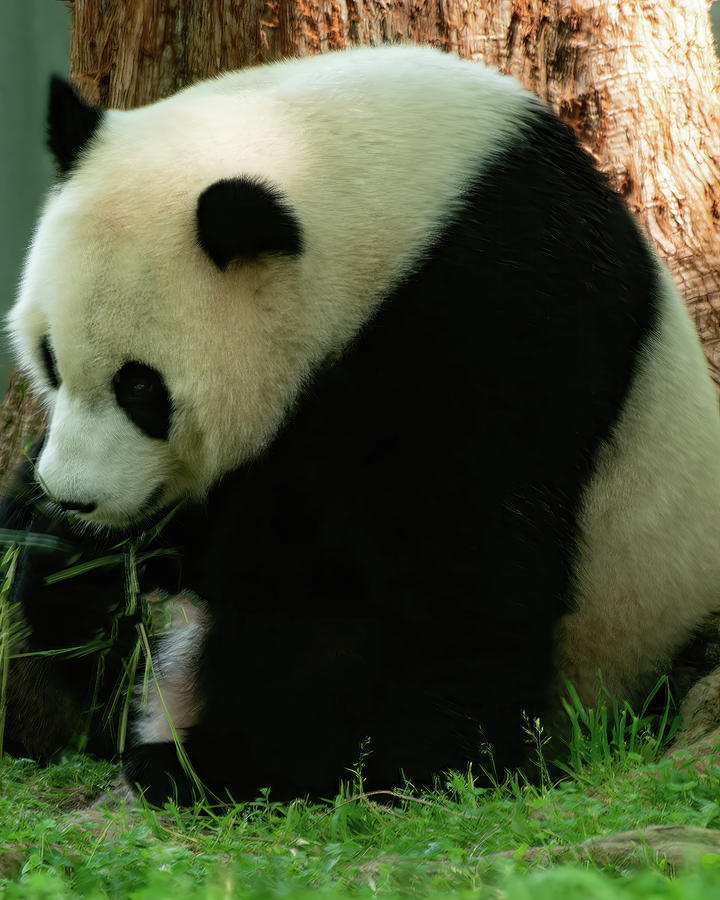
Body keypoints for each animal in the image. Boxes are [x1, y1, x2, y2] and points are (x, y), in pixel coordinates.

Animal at [5, 43, 720, 804]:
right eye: (49, 358)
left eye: (141, 387)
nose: (76, 497)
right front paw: (64, 546)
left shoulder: (500, 309)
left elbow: (453, 570)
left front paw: (416, 763)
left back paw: (208, 764)